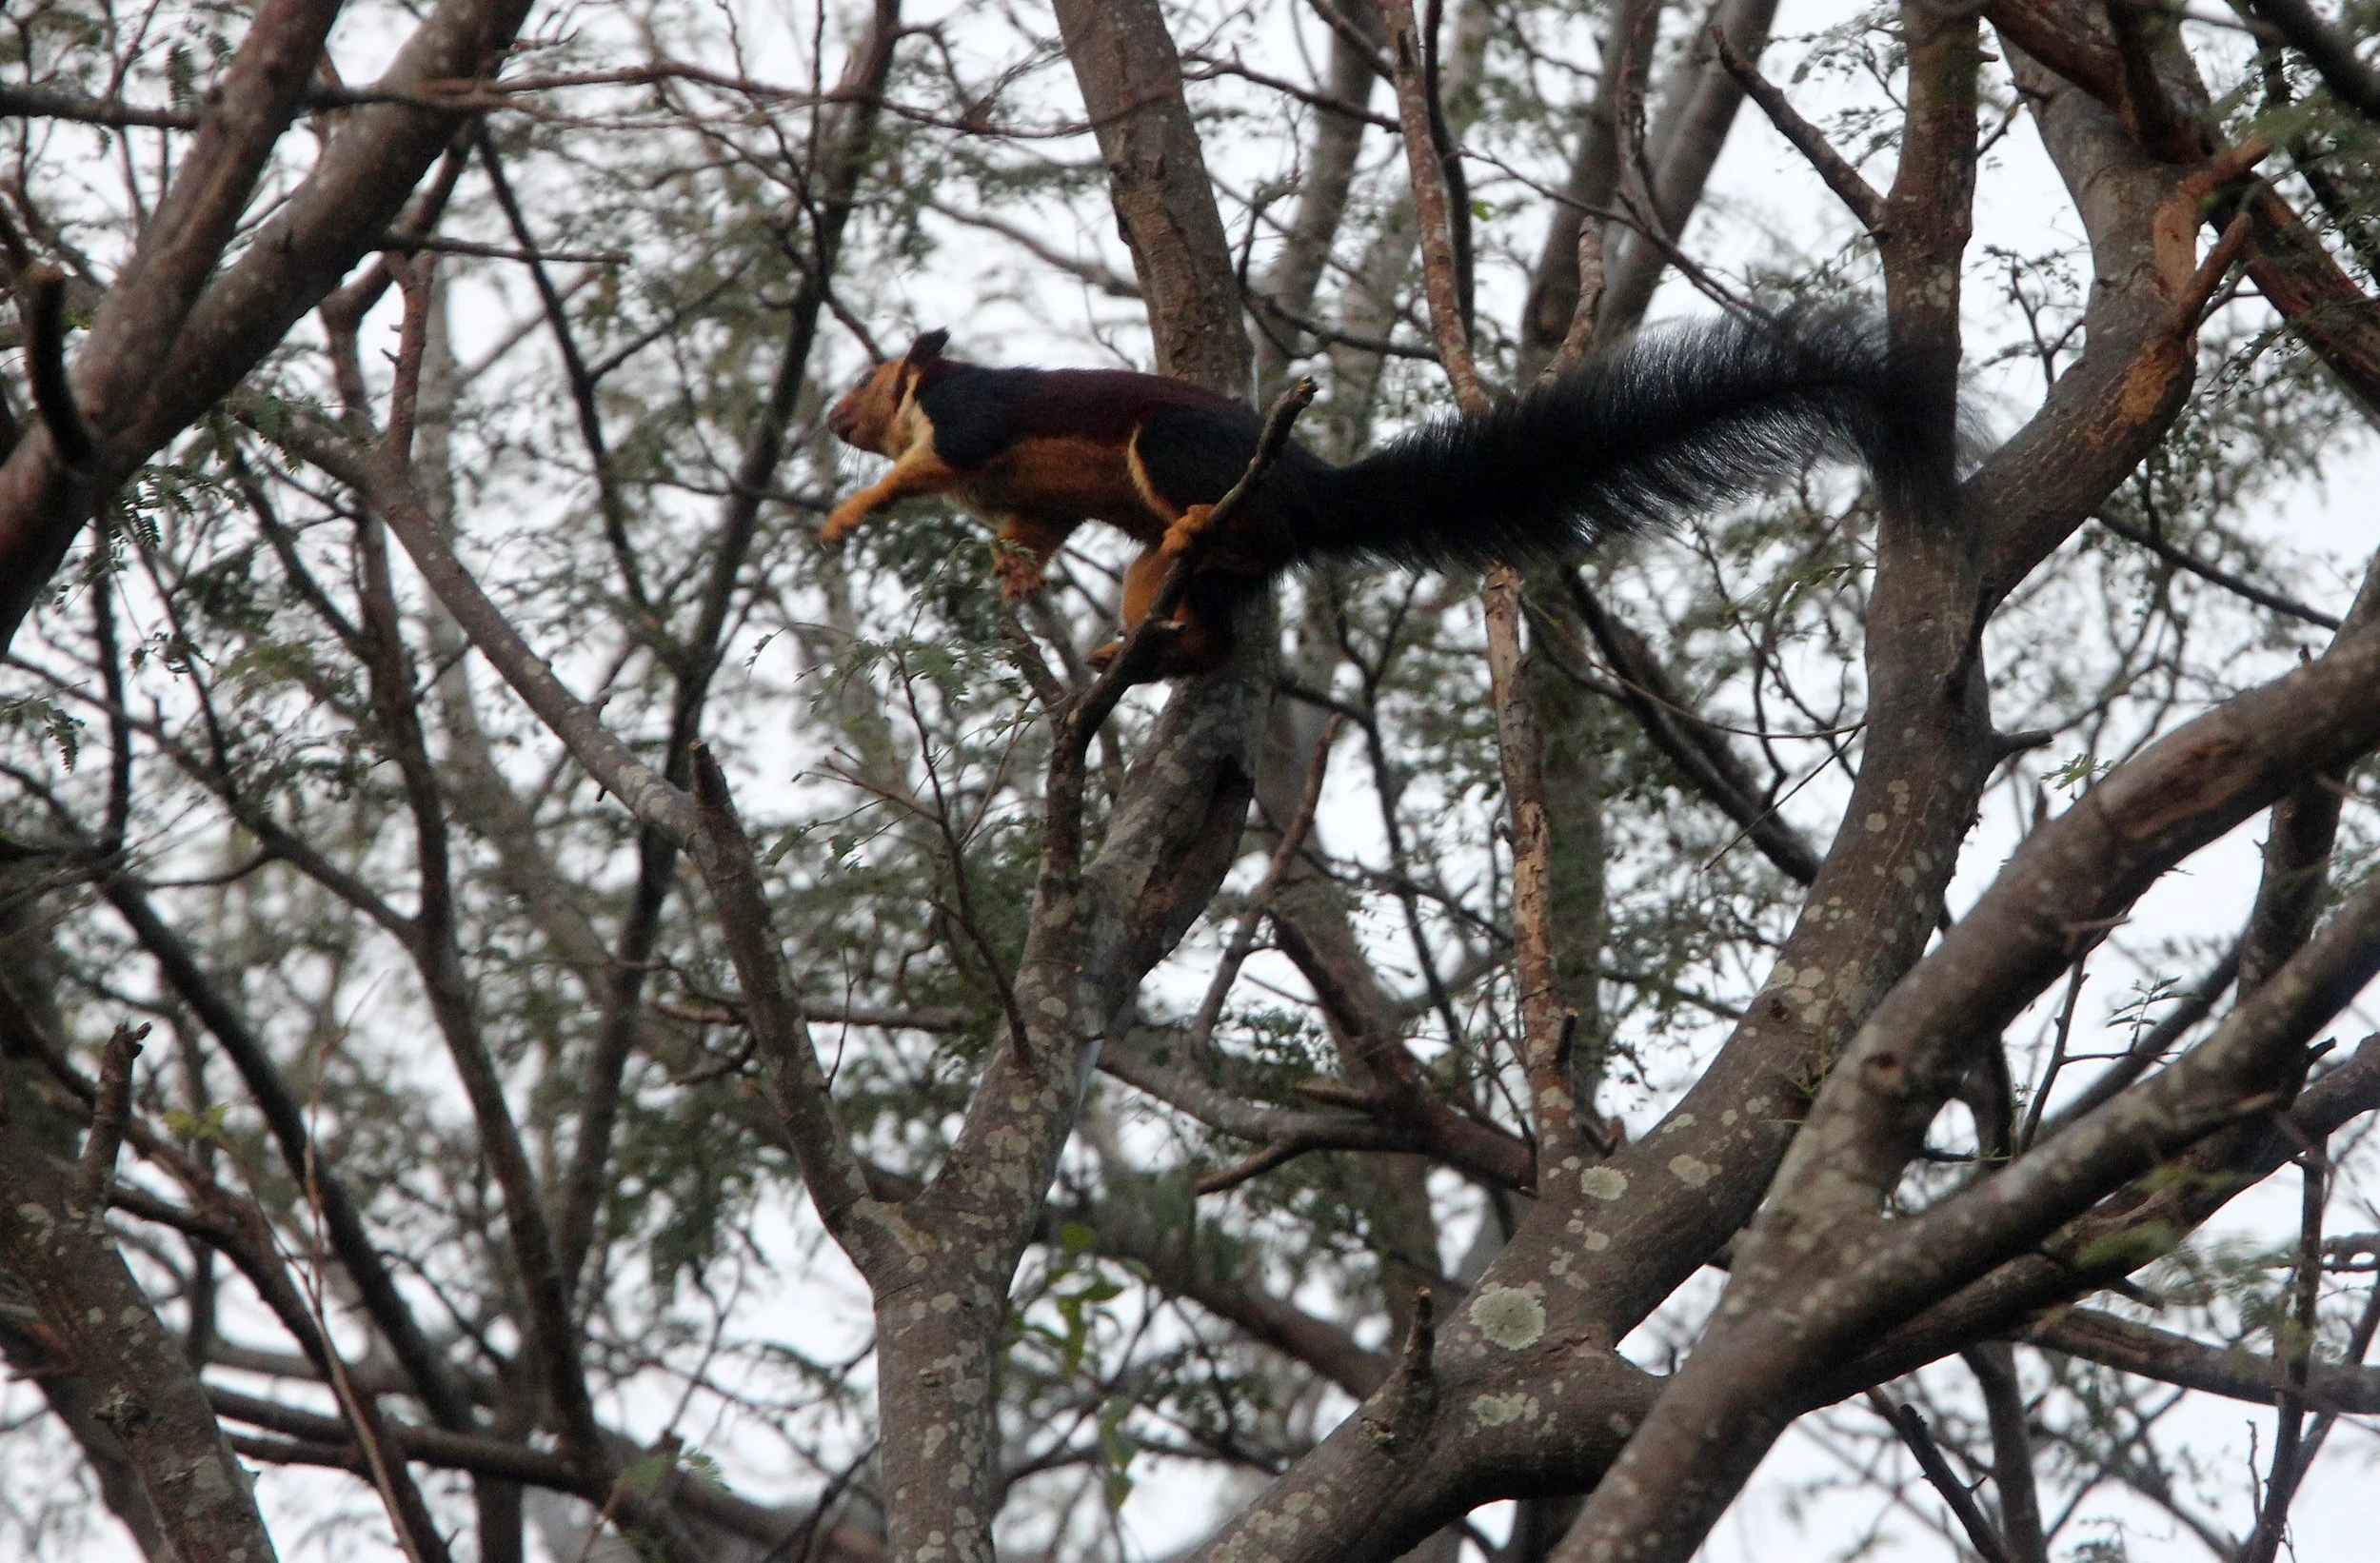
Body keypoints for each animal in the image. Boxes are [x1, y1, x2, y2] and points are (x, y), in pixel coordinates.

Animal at [821, 308, 1917, 679]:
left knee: (1209, 518)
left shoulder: (969, 417)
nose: (831, 420)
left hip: (1177, 450)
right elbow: (1033, 527)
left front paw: (848, 511)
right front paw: (1013, 578)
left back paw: (1188, 535)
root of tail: (1314, 495)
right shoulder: (1029, 498)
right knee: (1206, 629)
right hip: (1180, 578)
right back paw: (1136, 652)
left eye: (869, 378)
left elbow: (934, 462)